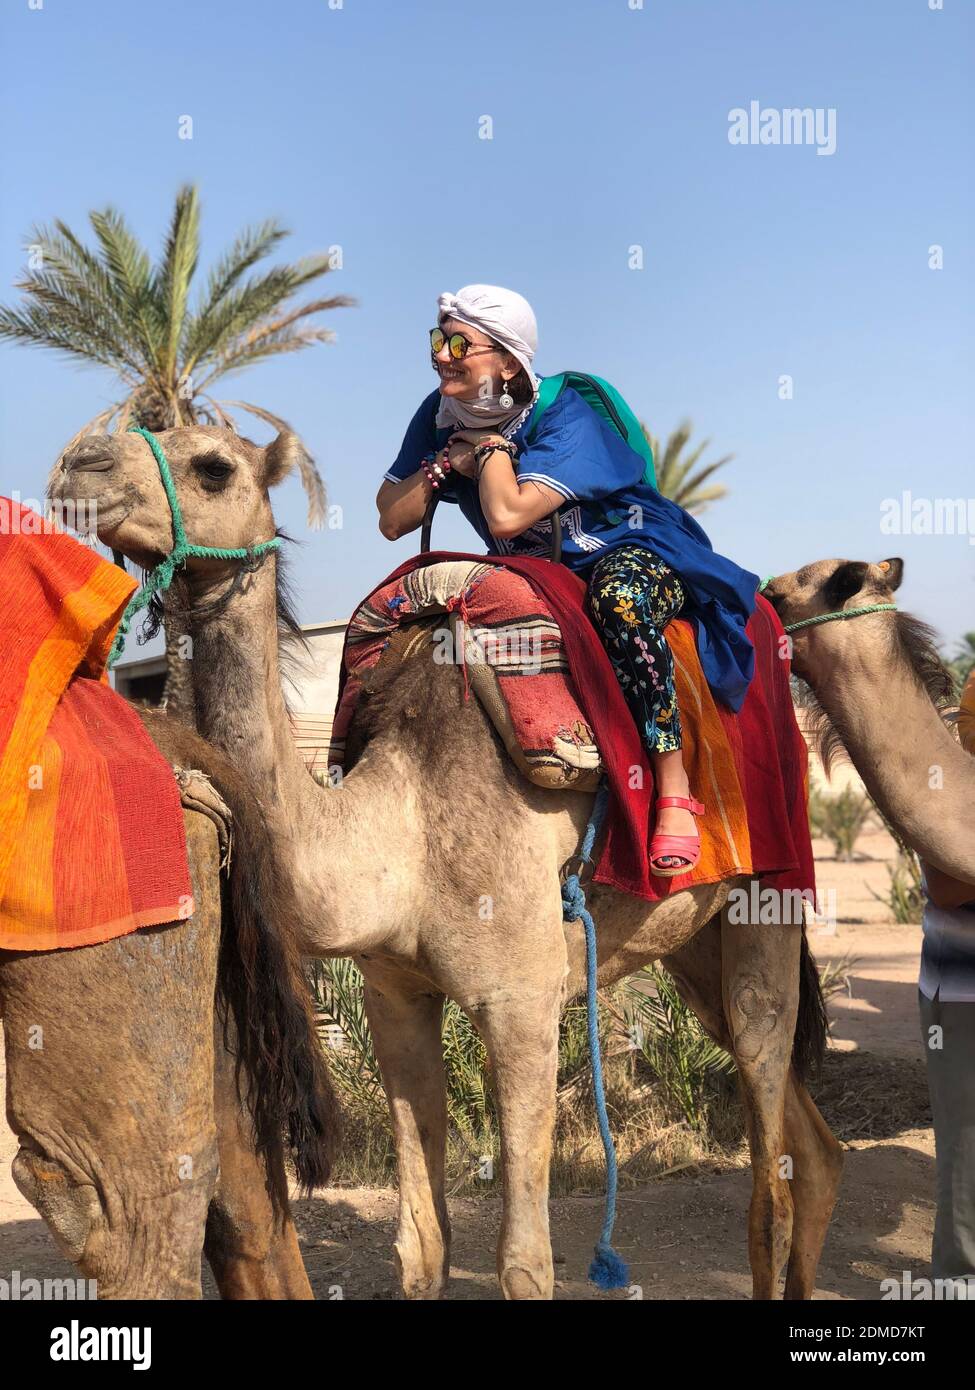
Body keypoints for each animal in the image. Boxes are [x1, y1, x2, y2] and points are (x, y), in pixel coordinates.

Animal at [53, 426, 842, 1301]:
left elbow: (524, 1262)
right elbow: (420, 1244)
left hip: (767, 896)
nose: (80, 465)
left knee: (766, 1155)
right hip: (687, 940)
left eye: (214, 465)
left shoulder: (522, 1003)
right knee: (806, 1143)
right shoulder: (394, 997)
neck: (404, 824)